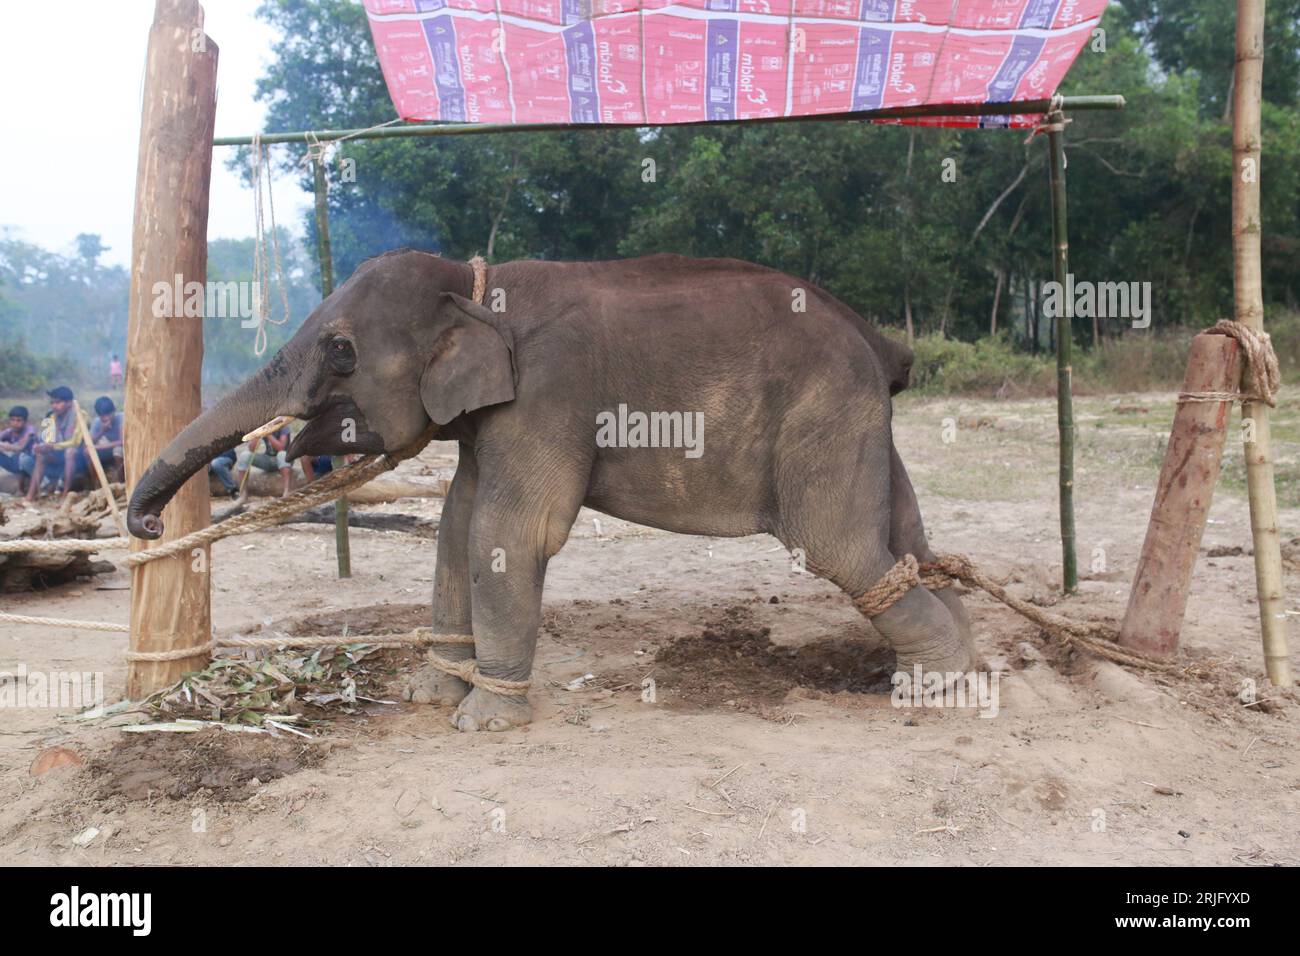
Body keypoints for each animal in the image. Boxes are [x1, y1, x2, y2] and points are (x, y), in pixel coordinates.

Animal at [127, 250, 977, 732]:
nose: (145, 526)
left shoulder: (548, 393)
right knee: (908, 540)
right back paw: (955, 676)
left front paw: (483, 723)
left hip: (825, 413)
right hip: (861, 425)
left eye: (341, 351)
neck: (478, 288)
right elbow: (457, 525)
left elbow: (511, 532)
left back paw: (927, 690)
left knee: (839, 546)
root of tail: (880, 341)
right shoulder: (491, 417)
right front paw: (432, 697)